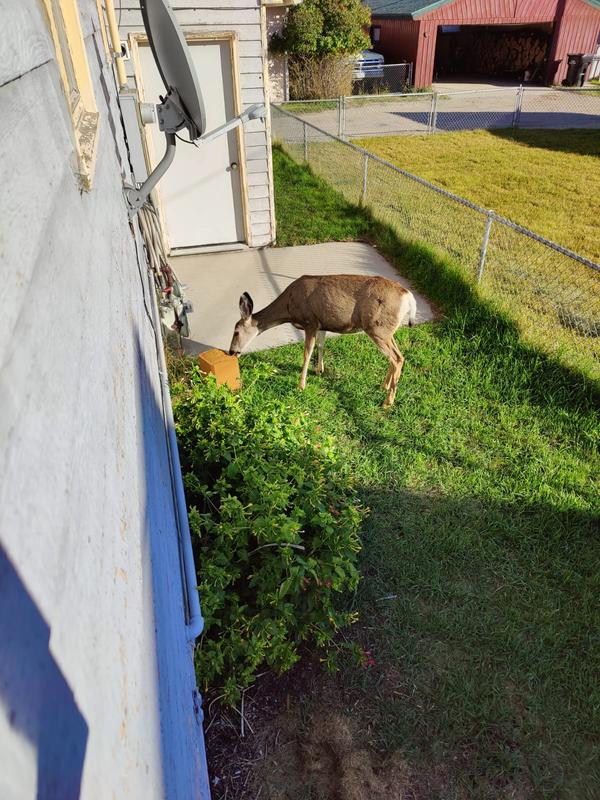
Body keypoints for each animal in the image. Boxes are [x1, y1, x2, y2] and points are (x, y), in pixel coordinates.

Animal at [228, 274, 417, 407]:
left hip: (377, 328)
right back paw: (383, 386)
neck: (289, 306)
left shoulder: (310, 322)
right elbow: (321, 345)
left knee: (397, 358)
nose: (231, 352)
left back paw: (387, 402)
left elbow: (307, 353)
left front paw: (301, 385)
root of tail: (408, 297)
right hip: (386, 330)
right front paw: (320, 370)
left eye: (236, 332)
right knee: (397, 356)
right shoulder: (321, 323)